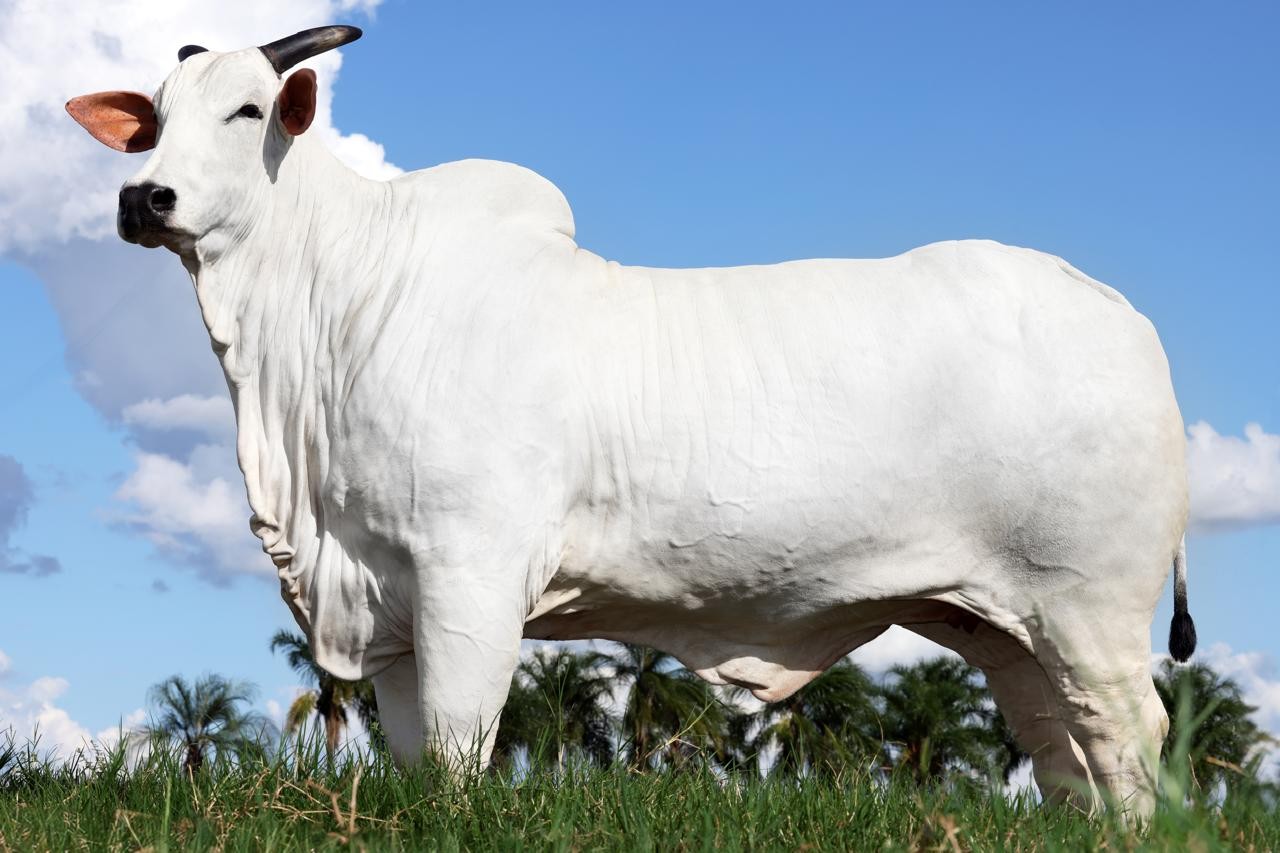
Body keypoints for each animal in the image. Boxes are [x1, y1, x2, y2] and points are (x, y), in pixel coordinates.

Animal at [68, 25, 1195, 813]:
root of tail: (1118, 312)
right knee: (1059, 746)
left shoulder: (470, 574)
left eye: (246, 110)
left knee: (1130, 731)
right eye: (152, 117)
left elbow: (461, 745)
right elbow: (414, 752)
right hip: (1006, 623)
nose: (144, 198)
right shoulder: (383, 597)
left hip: (1090, 604)